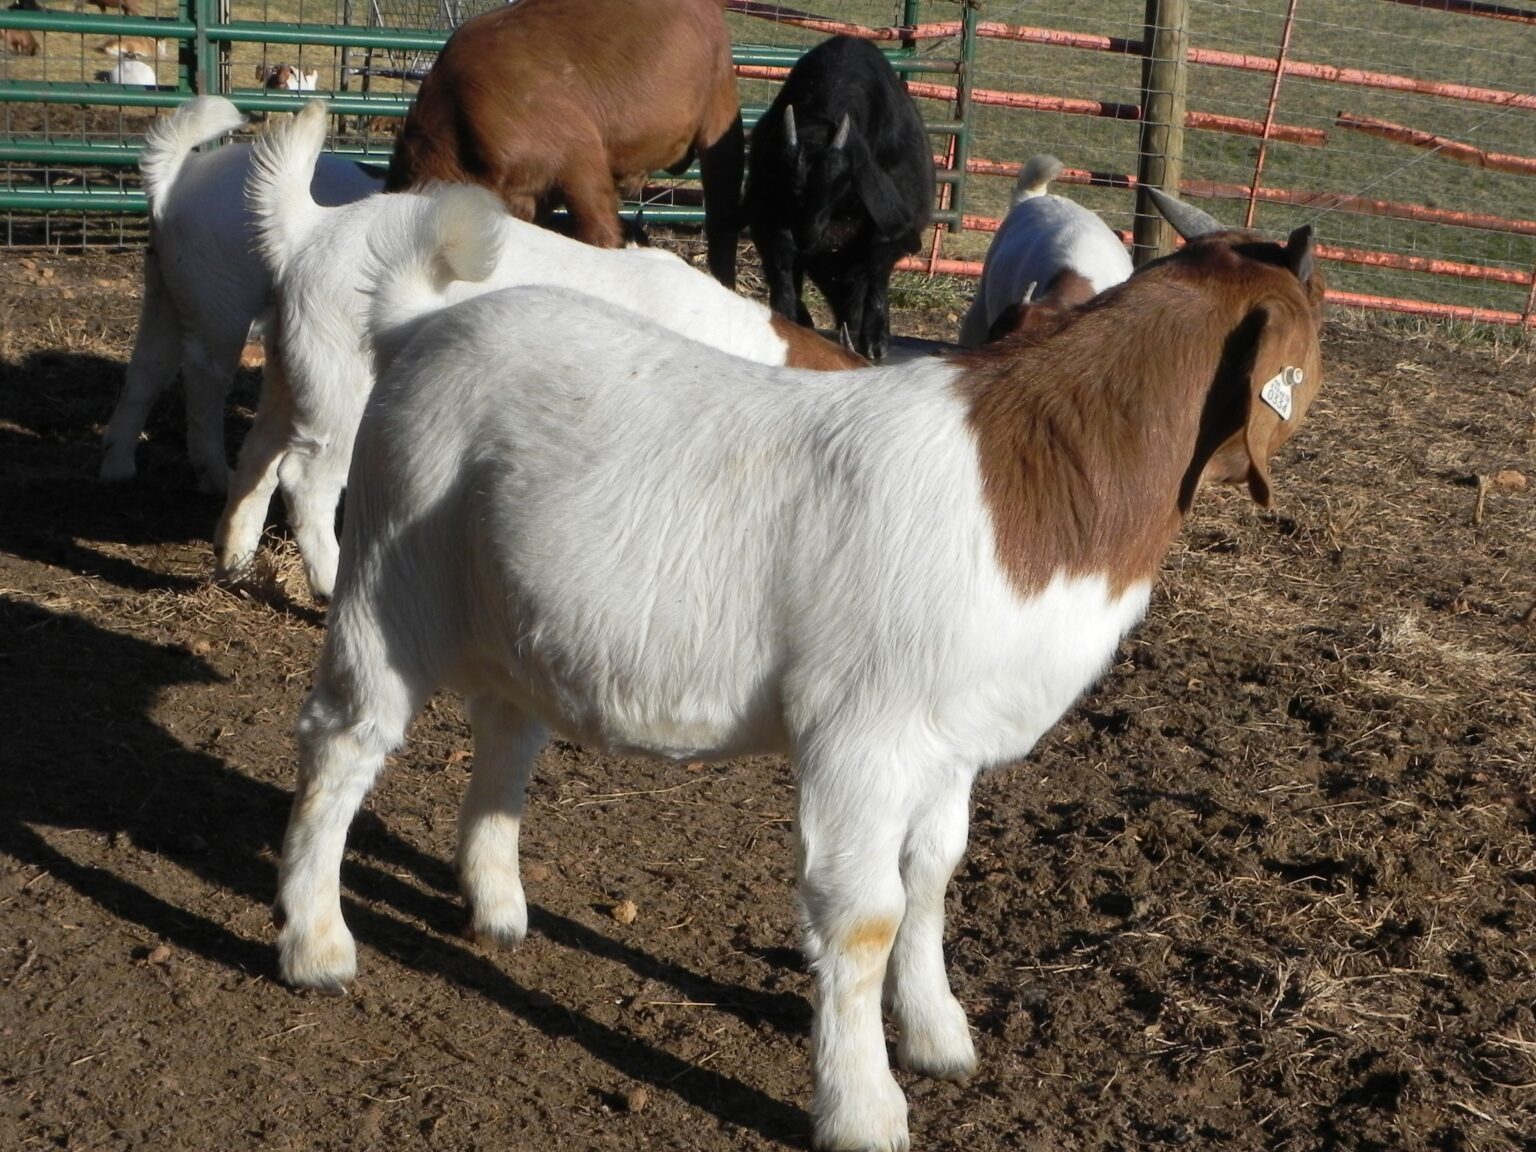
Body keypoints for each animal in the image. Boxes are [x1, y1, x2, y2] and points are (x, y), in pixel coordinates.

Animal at [100, 96, 381, 492]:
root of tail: (174, 180)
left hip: (168, 287)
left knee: (148, 368)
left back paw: (118, 469)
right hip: (220, 299)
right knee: (204, 376)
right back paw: (217, 477)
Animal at [216, 99, 862, 600]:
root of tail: (310, 229)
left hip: (290, 373)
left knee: (258, 455)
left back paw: (234, 560)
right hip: (341, 389)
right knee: (305, 477)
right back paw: (326, 583)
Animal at [273, 194, 1325, 1150]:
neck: (1026, 486)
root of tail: (417, 324)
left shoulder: (950, 740)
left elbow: (933, 875)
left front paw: (940, 1036)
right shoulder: (863, 734)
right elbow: (865, 917)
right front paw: (865, 1110)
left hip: (512, 610)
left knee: (506, 725)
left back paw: (496, 908)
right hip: (391, 573)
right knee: (346, 736)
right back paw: (316, 944)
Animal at [745, 34, 935, 363]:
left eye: (843, 182)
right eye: (788, 185)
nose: (809, 237)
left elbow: (878, 266)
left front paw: (876, 340)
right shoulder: (771, 217)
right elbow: (782, 265)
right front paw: (790, 321)